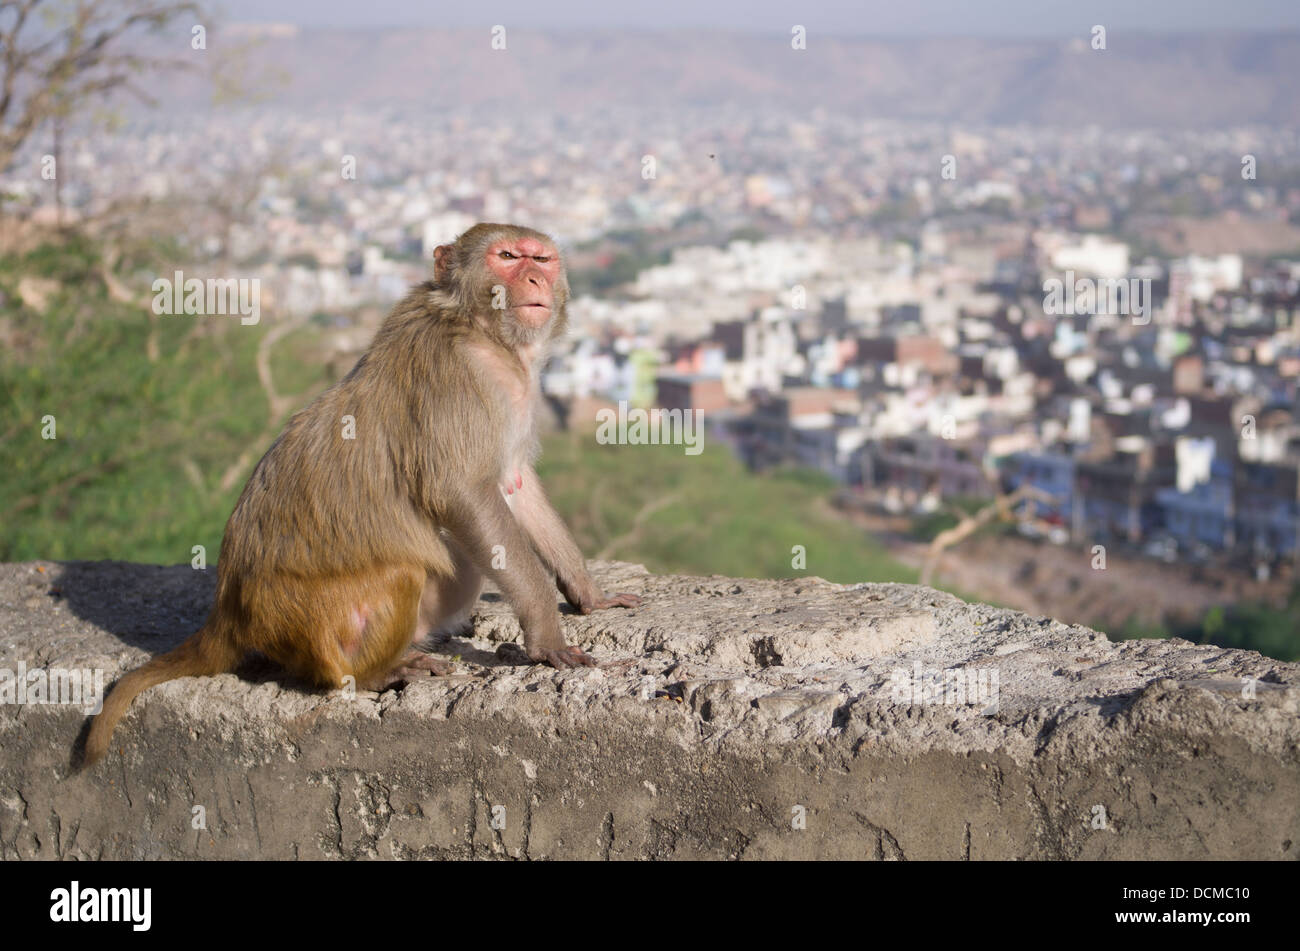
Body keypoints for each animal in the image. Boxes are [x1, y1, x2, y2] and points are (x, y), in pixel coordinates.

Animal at [83, 223, 641, 766]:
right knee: (405, 576)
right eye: (507, 256)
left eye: (541, 258)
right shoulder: (461, 380)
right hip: (312, 621)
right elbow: (461, 490)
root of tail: (231, 612)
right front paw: (546, 639)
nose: (536, 279)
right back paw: (372, 674)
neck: (484, 331)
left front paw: (589, 595)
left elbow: (517, 486)